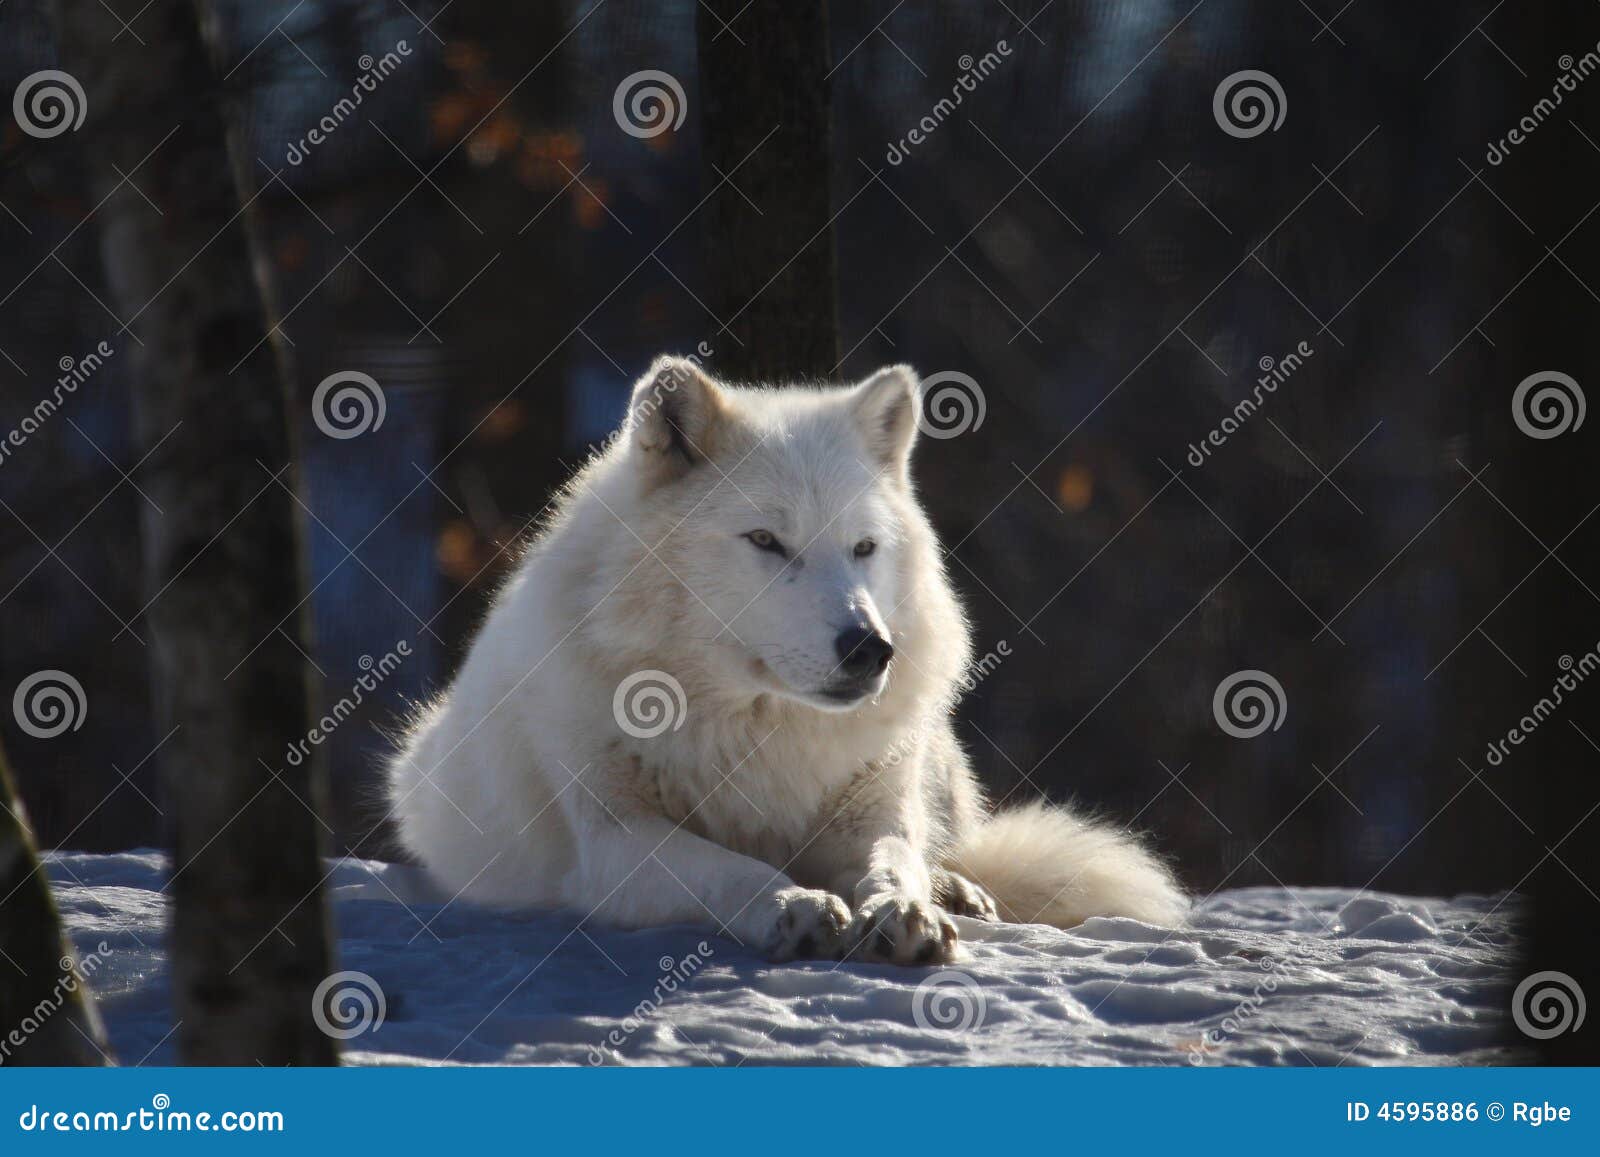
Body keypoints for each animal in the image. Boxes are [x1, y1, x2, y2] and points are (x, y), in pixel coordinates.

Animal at [388, 356, 1186, 964]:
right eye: (767, 542)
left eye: (863, 547)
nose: (869, 648)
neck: (759, 729)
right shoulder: (613, 840)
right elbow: (728, 868)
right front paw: (794, 904)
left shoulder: (871, 809)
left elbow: (895, 857)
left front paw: (905, 910)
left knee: (948, 845)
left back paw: (957, 890)